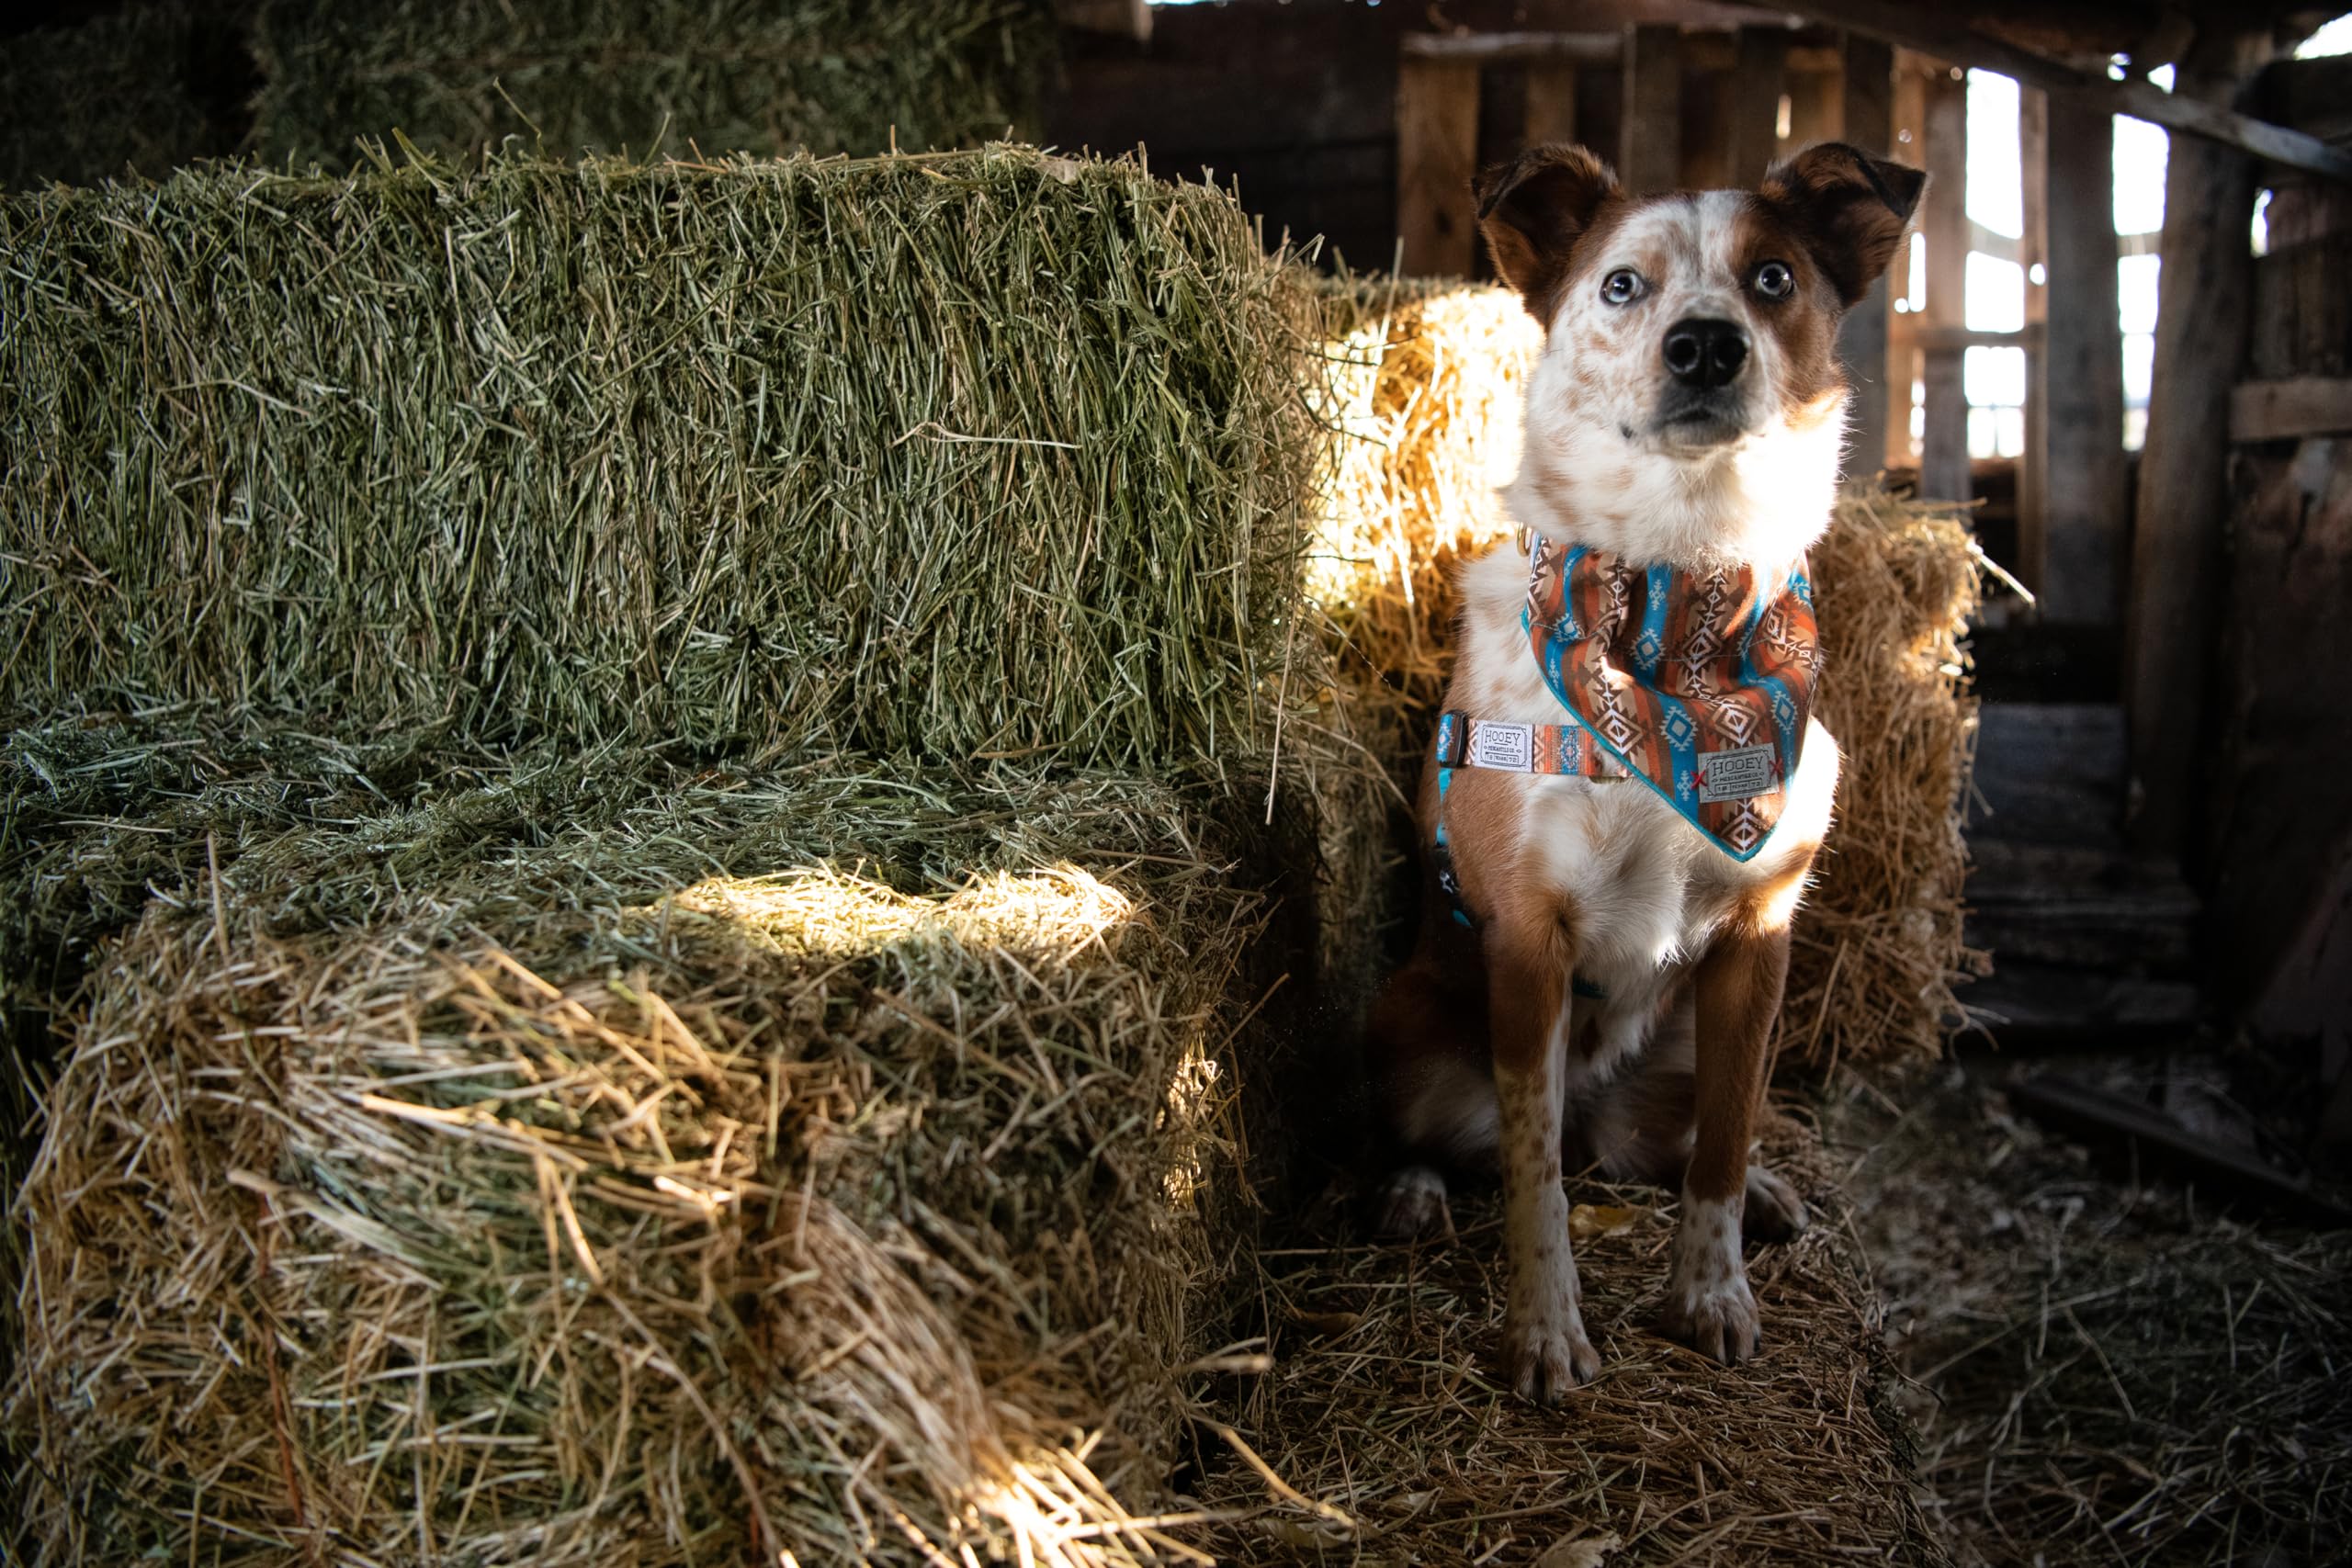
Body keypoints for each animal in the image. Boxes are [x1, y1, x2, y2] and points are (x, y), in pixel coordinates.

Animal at [1374, 141, 1918, 1401]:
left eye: (1772, 278)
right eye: (1621, 285)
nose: (1704, 344)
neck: (1677, 599)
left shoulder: (1762, 939)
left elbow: (1722, 1139)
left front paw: (1710, 1293)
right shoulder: (1526, 941)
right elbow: (1533, 1176)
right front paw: (1542, 1333)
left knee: (1679, 1142)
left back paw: (1763, 1193)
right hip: (1410, 1028)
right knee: (1455, 1142)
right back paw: (1413, 1196)